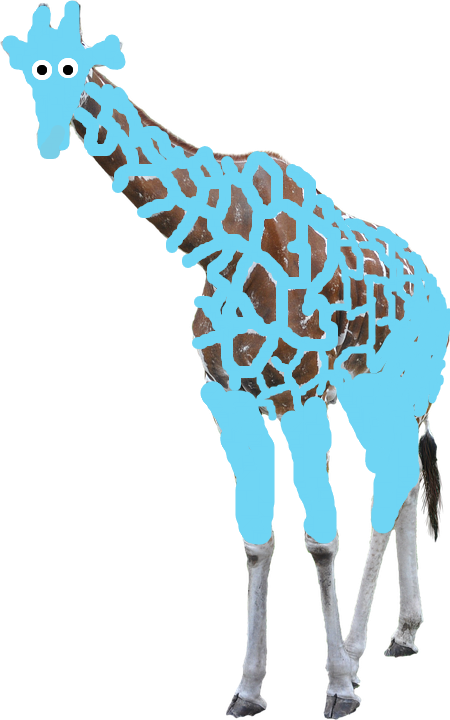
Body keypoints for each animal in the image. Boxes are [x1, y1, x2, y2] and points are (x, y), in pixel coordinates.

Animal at [2, 3, 449, 718]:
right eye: (33, 70)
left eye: (70, 66)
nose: (47, 135)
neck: (220, 243)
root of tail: (432, 282)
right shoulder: (228, 399)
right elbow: (255, 537)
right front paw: (247, 688)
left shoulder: (299, 395)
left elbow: (320, 536)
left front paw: (337, 688)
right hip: (371, 393)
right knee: (398, 474)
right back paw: (402, 633)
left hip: (401, 382)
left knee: (390, 481)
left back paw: (358, 651)